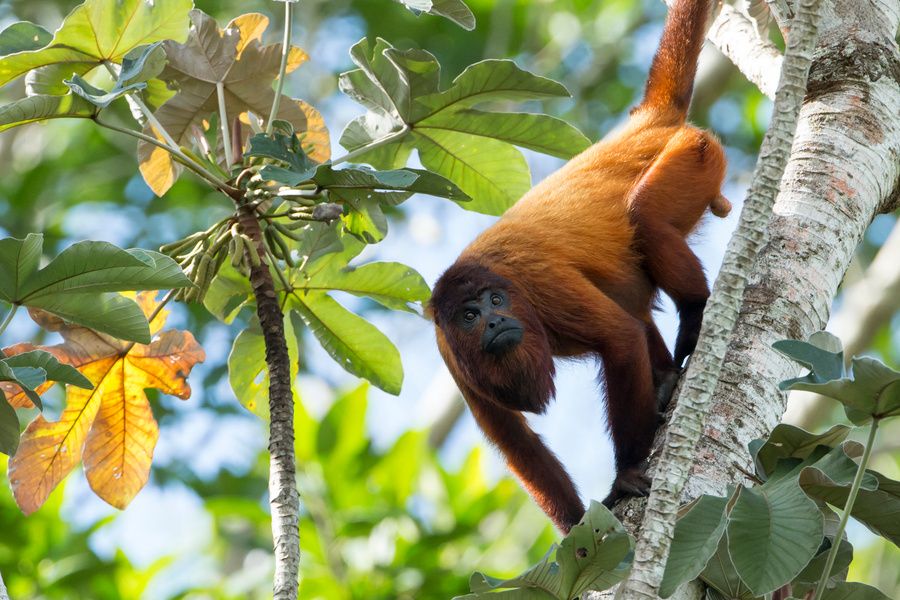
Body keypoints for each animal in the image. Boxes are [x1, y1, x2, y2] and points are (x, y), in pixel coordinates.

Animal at [429, 0, 730, 533]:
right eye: (468, 316)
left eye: (496, 299)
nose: (494, 320)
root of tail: (646, 121)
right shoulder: (451, 355)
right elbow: (517, 442)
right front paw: (575, 533)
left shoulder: (539, 285)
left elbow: (619, 339)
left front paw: (627, 472)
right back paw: (665, 379)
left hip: (692, 157)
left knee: (644, 217)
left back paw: (694, 315)